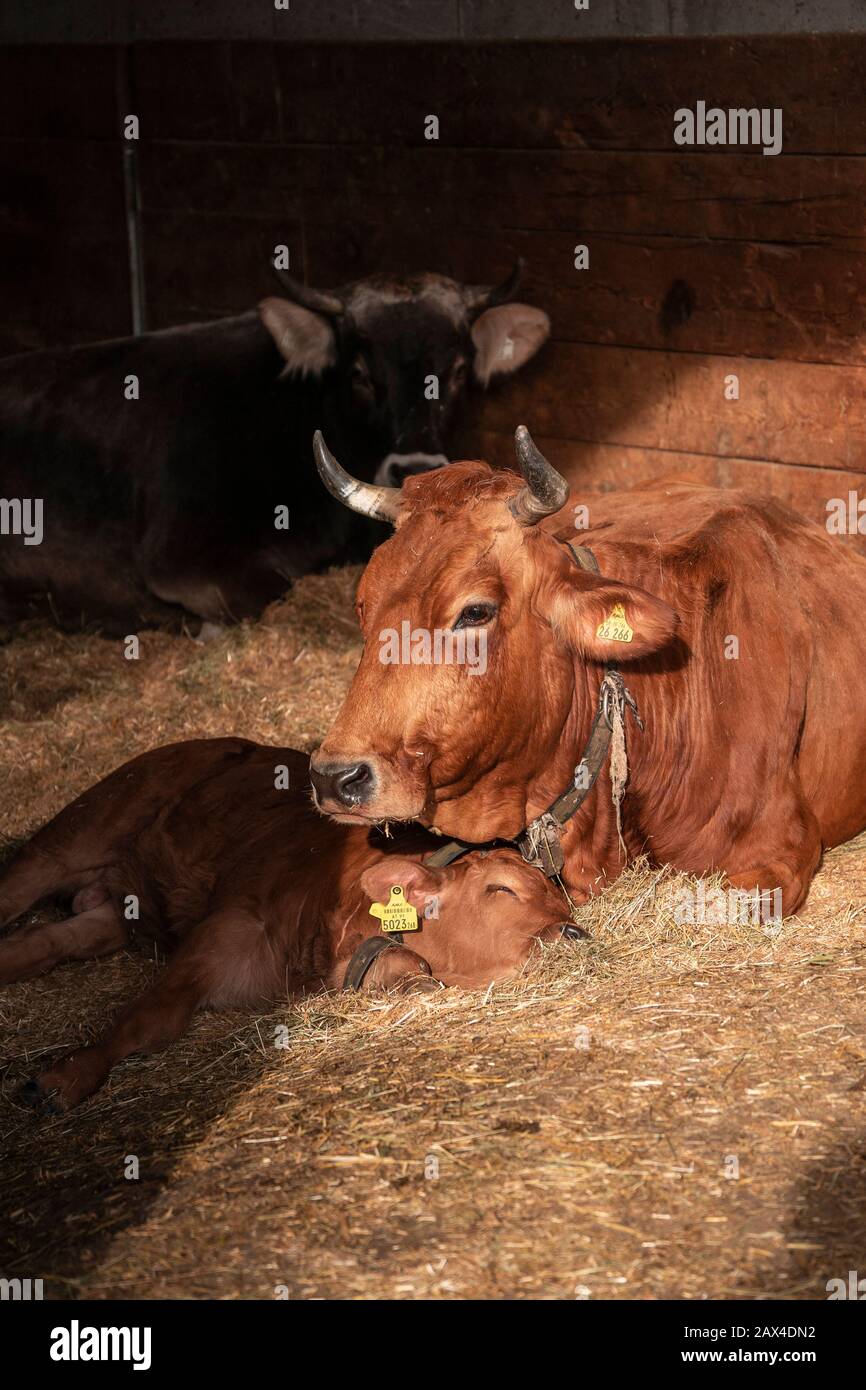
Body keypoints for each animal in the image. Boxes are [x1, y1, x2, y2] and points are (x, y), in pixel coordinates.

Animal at [0, 738, 577, 1111]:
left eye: (564, 902)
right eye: (501, 889)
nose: (575, 933)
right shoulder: (226, 929)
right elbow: (151, 1018)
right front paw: (66, 1077)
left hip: (114, 912)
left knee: (45, 942)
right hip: (79, 830)